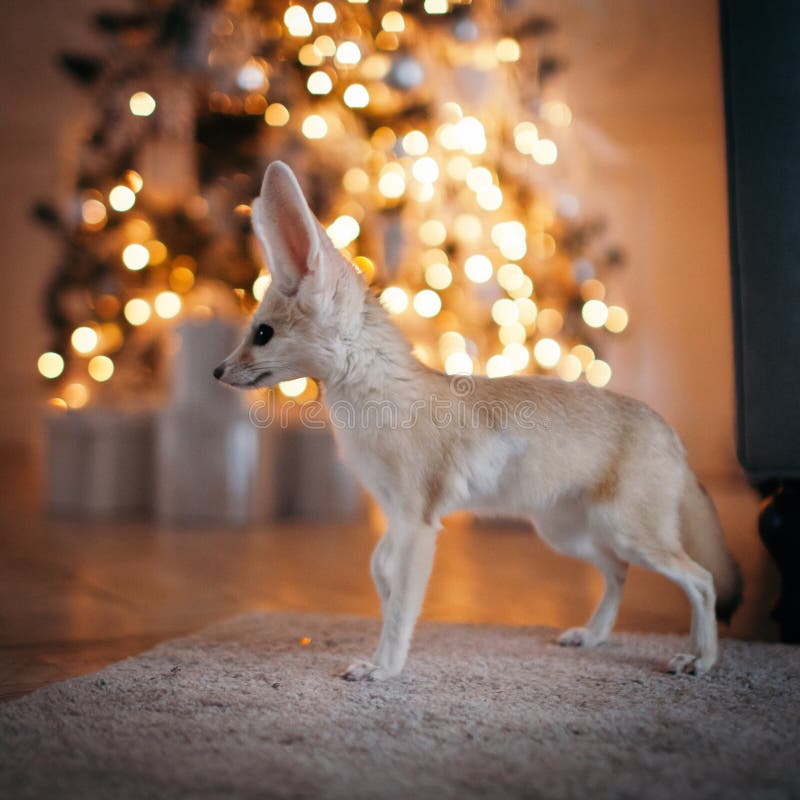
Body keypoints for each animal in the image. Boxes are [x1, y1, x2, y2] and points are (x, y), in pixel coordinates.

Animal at [214, 161, 742, 680]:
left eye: (262, 334)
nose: (216, 371)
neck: (380, 397)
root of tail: (671, 433)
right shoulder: (396, 515)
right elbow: (380, 573)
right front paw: (383, 637)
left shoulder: (419, 522)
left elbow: (402, 607)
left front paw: (384, 668)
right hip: (570, 533)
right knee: (619, 573)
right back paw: (596, 637)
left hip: (626, 534)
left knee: (702, 580)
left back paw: (702, 659)